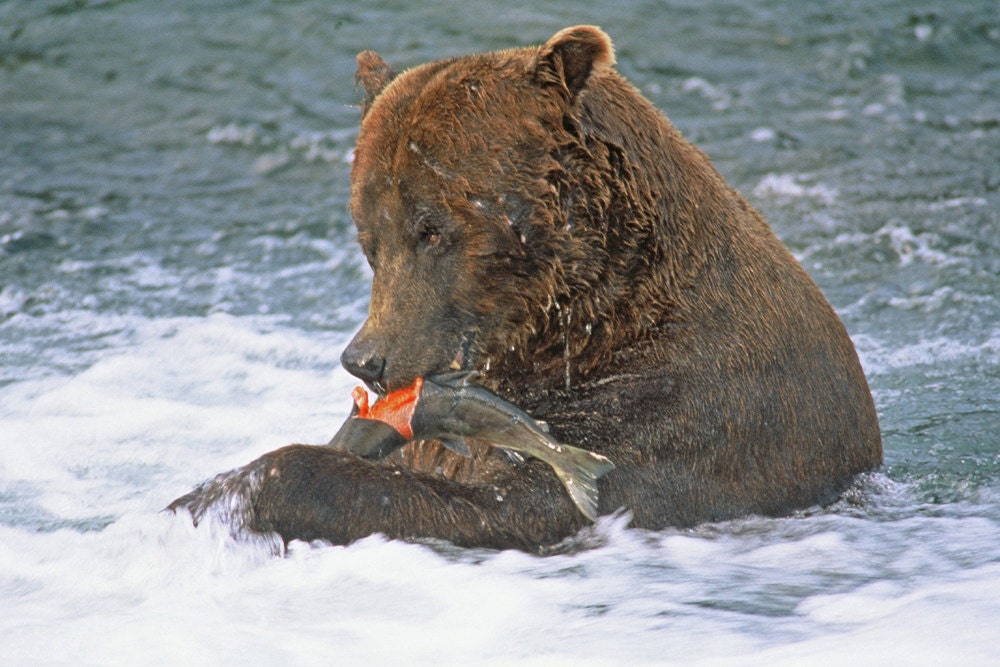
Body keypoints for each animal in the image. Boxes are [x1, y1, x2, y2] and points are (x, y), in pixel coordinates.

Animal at [170, 26, 882, 552]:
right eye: (369, 236)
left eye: (430, 228)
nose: (366, 359)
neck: (587, 319)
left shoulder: (677, 413)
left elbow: (511, 506)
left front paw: (237, 490)